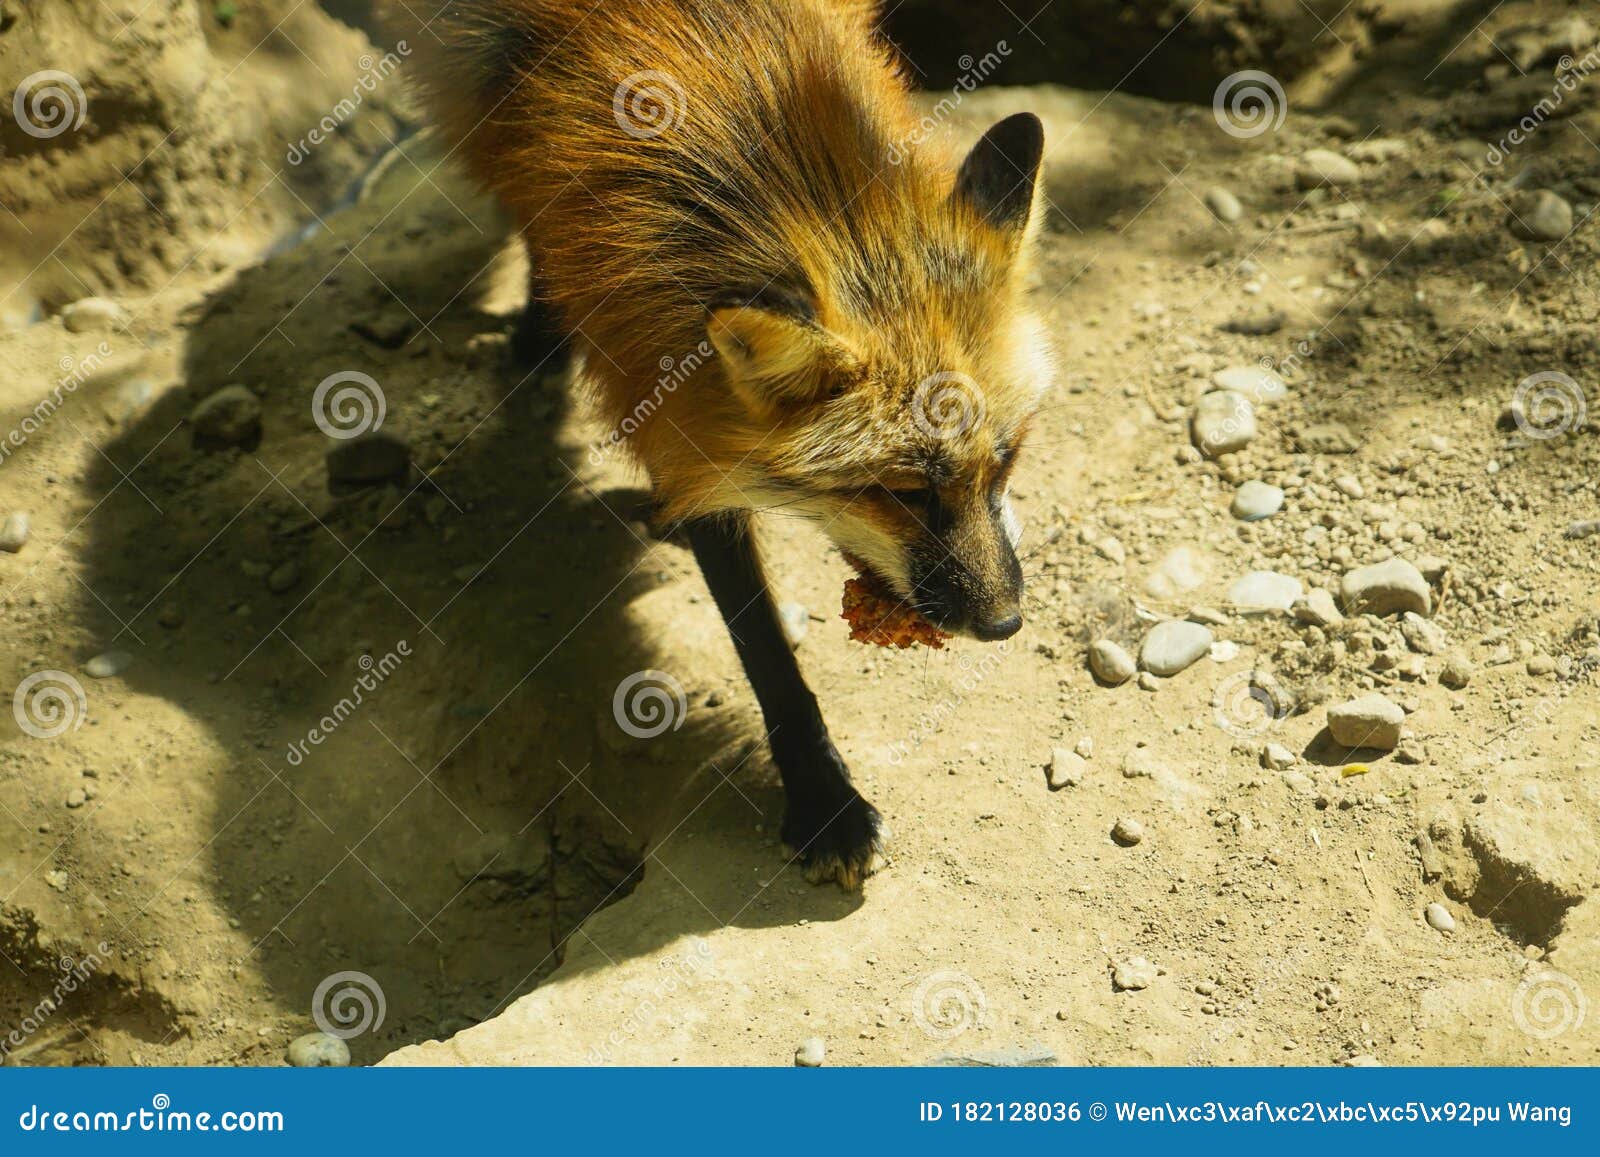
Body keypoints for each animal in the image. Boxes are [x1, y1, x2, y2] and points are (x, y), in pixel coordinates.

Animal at [393, 0, 1053, 888]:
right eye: (902, 492)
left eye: (1006, 459)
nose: (1005, 625)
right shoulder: (671, 404)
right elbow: (766, 651)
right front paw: (824, 803)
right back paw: (540, 329)